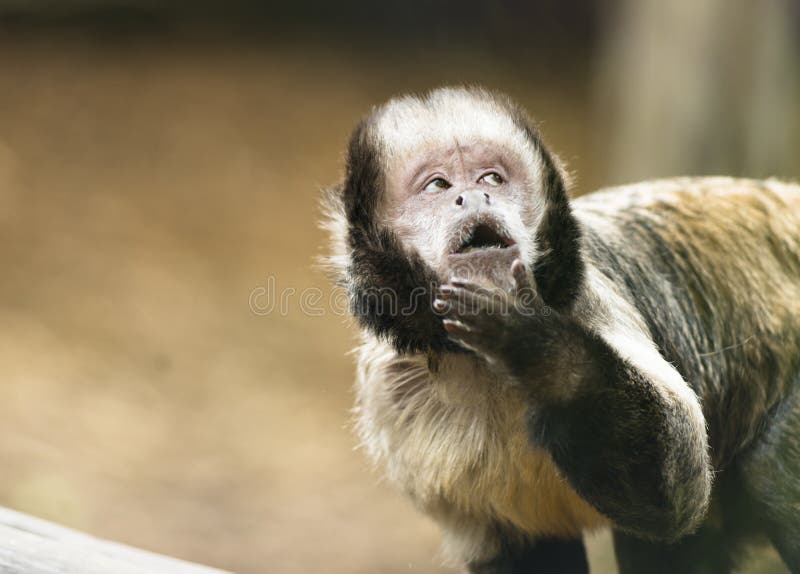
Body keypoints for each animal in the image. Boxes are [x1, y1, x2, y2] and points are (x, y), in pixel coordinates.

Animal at [322, 87, 800, 573]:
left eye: (491, 178)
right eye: (438, 186)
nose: (474, 197)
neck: (480, 360)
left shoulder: (589, 299)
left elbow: (678, 488)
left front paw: (536, 346)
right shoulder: (391, 389)